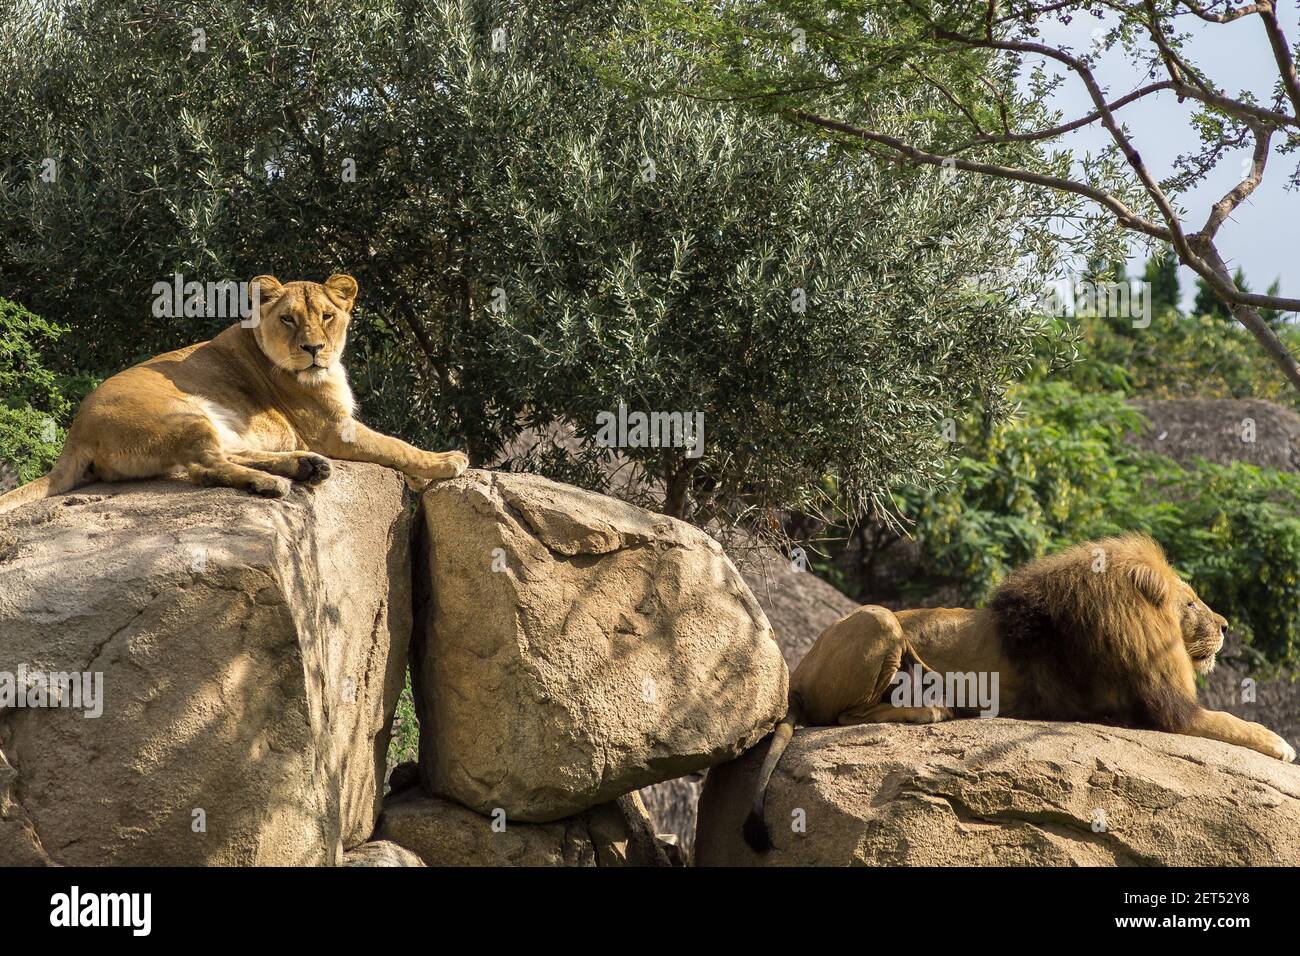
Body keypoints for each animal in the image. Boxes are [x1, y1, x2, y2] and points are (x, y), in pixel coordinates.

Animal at [0, 274, 467, 515]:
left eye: (327, 316)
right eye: (288, 319)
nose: (314, 348)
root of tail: (75, 433)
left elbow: (392, 445)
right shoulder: (335, 431)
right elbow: (395, 445)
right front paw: (446, 461)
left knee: (221, 457)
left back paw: (305, 467)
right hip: (183, 412)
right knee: (205, 466)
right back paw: (274, 482)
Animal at [743, 533, 1296, 852]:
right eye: (1192, 602)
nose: (1226, 626)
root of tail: (795, 678)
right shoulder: (1166, 710)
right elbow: (1237, 724)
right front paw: (1282, 745)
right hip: (879, 618)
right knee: (842, 717)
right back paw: (930, 709)